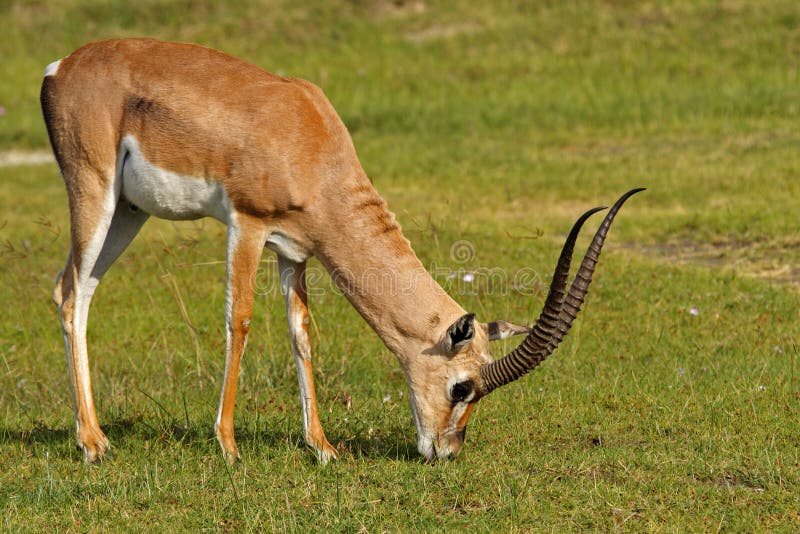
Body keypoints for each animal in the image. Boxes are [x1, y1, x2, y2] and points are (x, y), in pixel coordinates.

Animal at [41, 38, 642, 464]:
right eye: (462, 387)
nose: (447, 451)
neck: (308, 141)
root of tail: (61, 66)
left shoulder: (294, 250)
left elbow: (302, 333)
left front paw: (323, 448)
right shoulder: (247, 225)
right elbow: (241, 319)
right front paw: (228, 446)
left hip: (128, 212)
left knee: (82, 293)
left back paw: (96, 437)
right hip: (94, 194)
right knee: (68, 291)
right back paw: (92, 445)